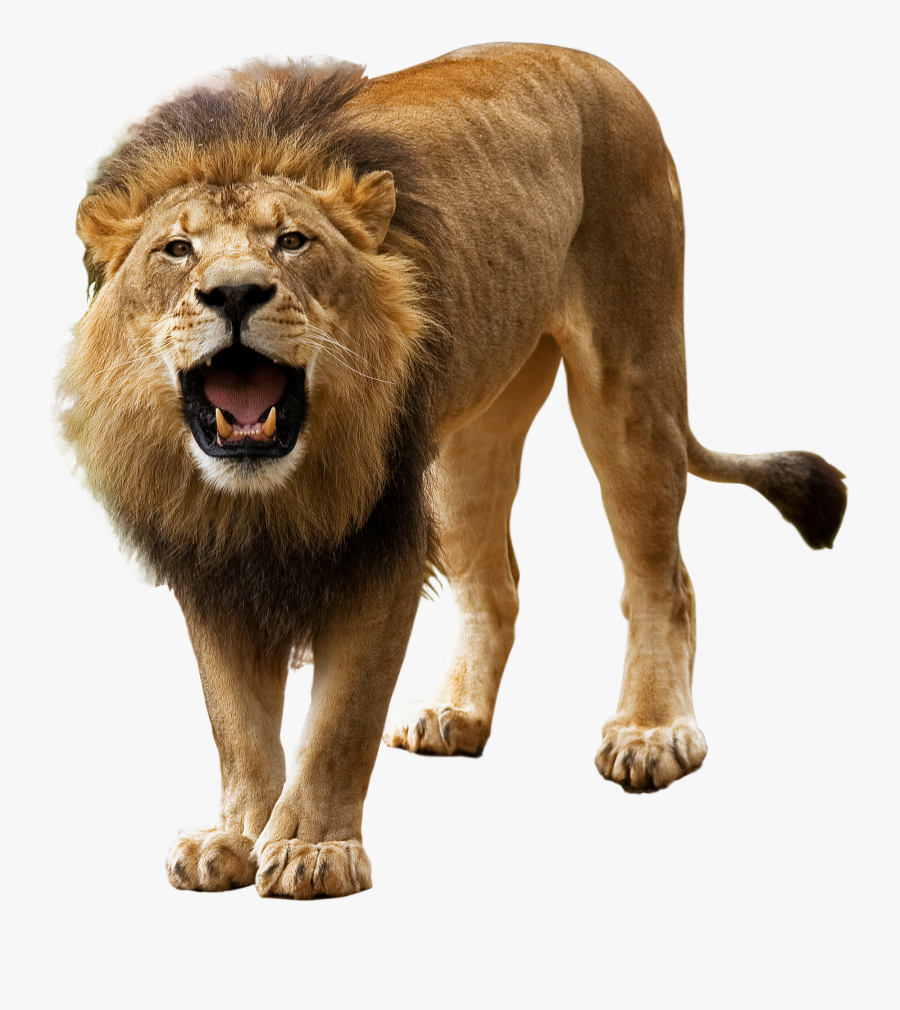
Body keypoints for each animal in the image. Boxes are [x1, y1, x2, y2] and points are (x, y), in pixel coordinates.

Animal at [57, 43, 846, 899]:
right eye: (177, 249)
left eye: (294, 241)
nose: (235, 292)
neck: (264, 494)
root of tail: (592, 61)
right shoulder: (211, 559)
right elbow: (235, 721)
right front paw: (233, 835)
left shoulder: (381, 547)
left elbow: (341, 719)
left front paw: (312, 850)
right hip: (463, 445)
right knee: (496, 585)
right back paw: (456, 714)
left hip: (631, 383)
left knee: (663, 579)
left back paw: (651, 731)